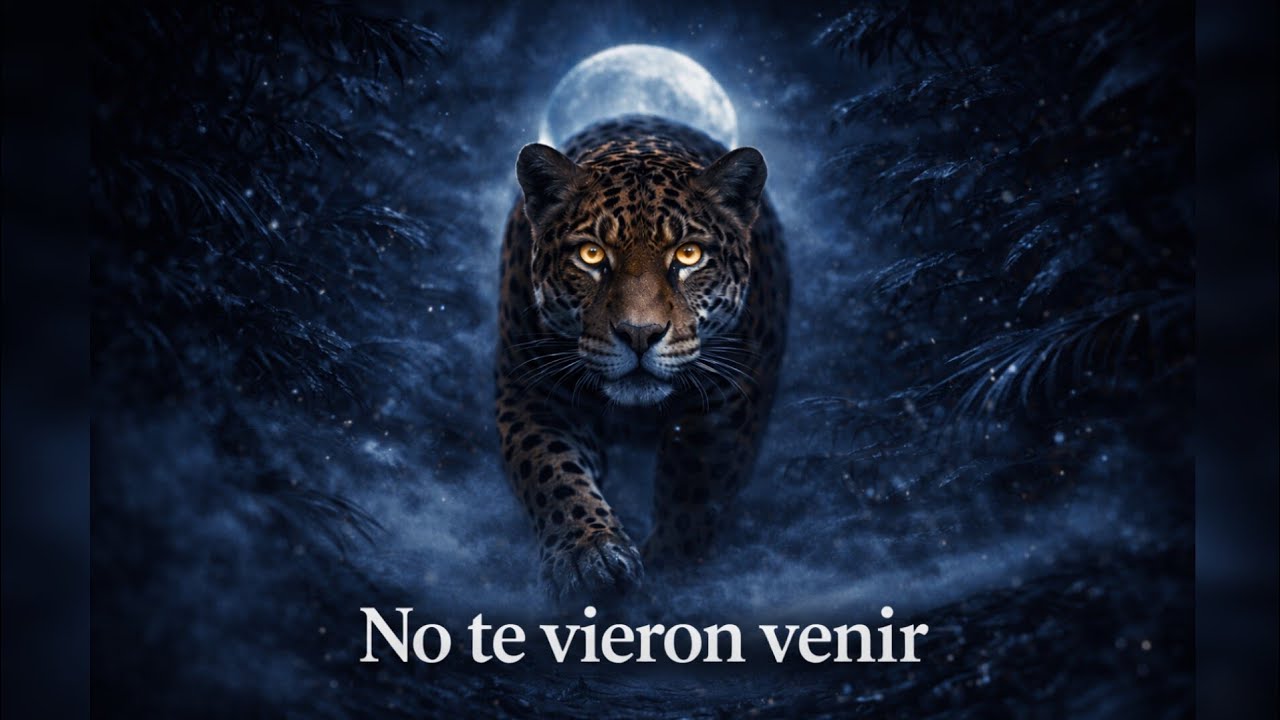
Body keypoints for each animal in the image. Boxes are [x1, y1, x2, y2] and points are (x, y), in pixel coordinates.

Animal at [495, 114, 789, 600]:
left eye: (688, 254)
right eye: (591, 254)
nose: (639, 333)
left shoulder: (727, 402)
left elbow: (693, 493)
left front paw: (668, 570)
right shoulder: (535, 392)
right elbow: (550, 471)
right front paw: (589, 553)